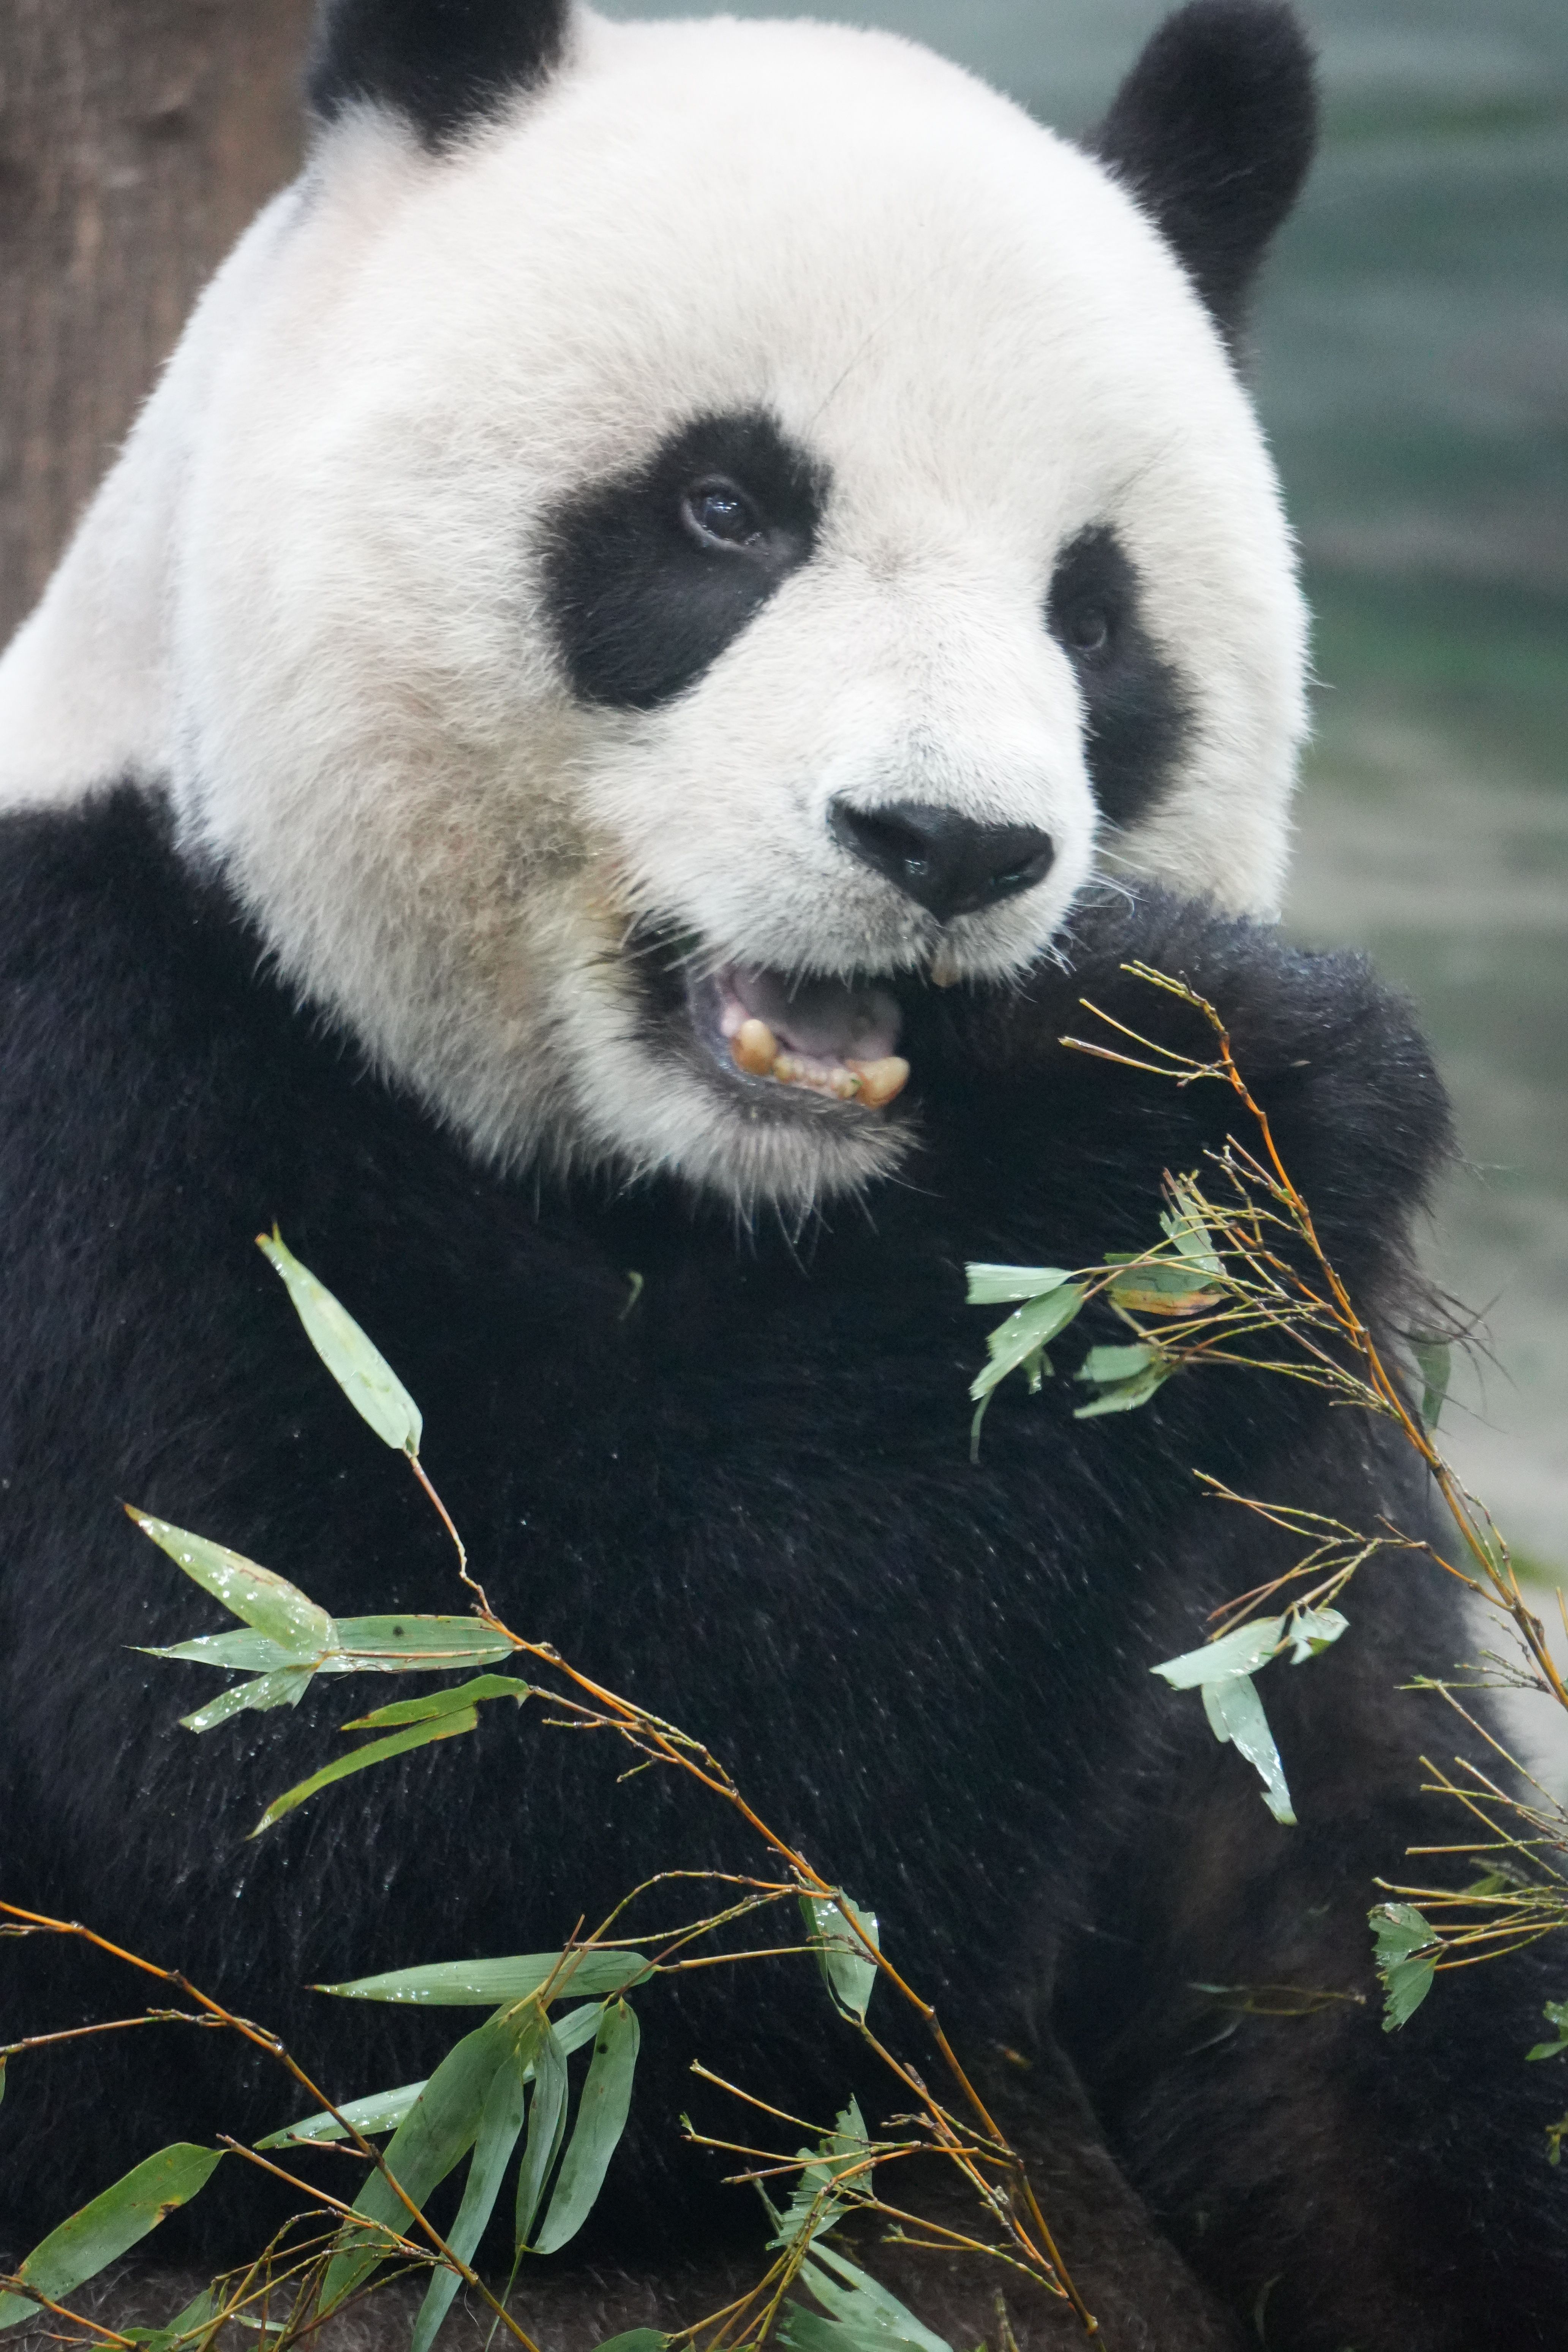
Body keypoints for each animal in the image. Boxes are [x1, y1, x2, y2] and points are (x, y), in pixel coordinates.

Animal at [0, 1, 1563, 2346]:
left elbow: (1359, 1948)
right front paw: (1184, 1066)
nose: (948, 846)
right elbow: (455, 1883)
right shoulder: (102, 1123)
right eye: (723, 508)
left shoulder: (1276, 1492)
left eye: (1088, 613)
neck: (734, 1202)